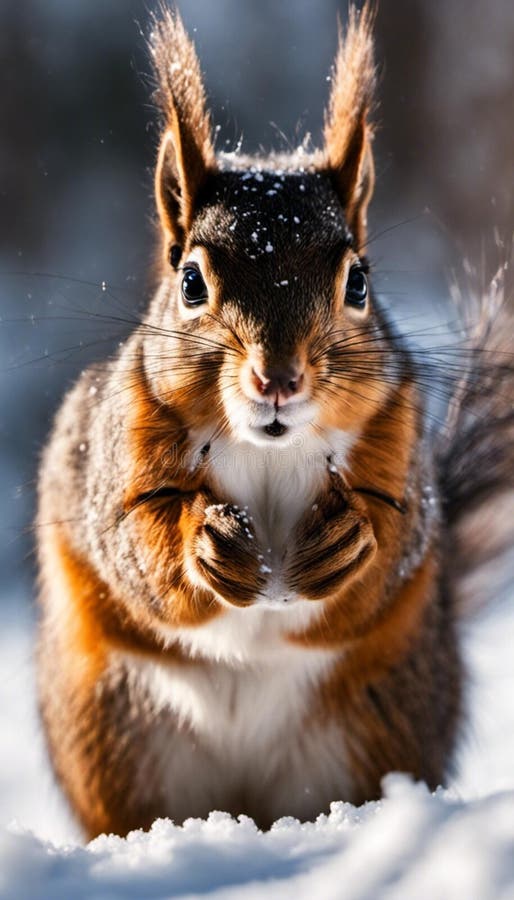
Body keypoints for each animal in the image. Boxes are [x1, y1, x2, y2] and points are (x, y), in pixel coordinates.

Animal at [36, 6, 514, 839]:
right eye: (191, 282)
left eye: (359, 283)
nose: (277, 379)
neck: (264, 452)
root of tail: (249, 812)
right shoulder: (107, 447)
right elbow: (132, 538)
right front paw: (206, 544)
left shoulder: (401, 445)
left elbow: (394, 543)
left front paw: (348, 541)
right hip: (113, 733)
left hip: (371, 728)